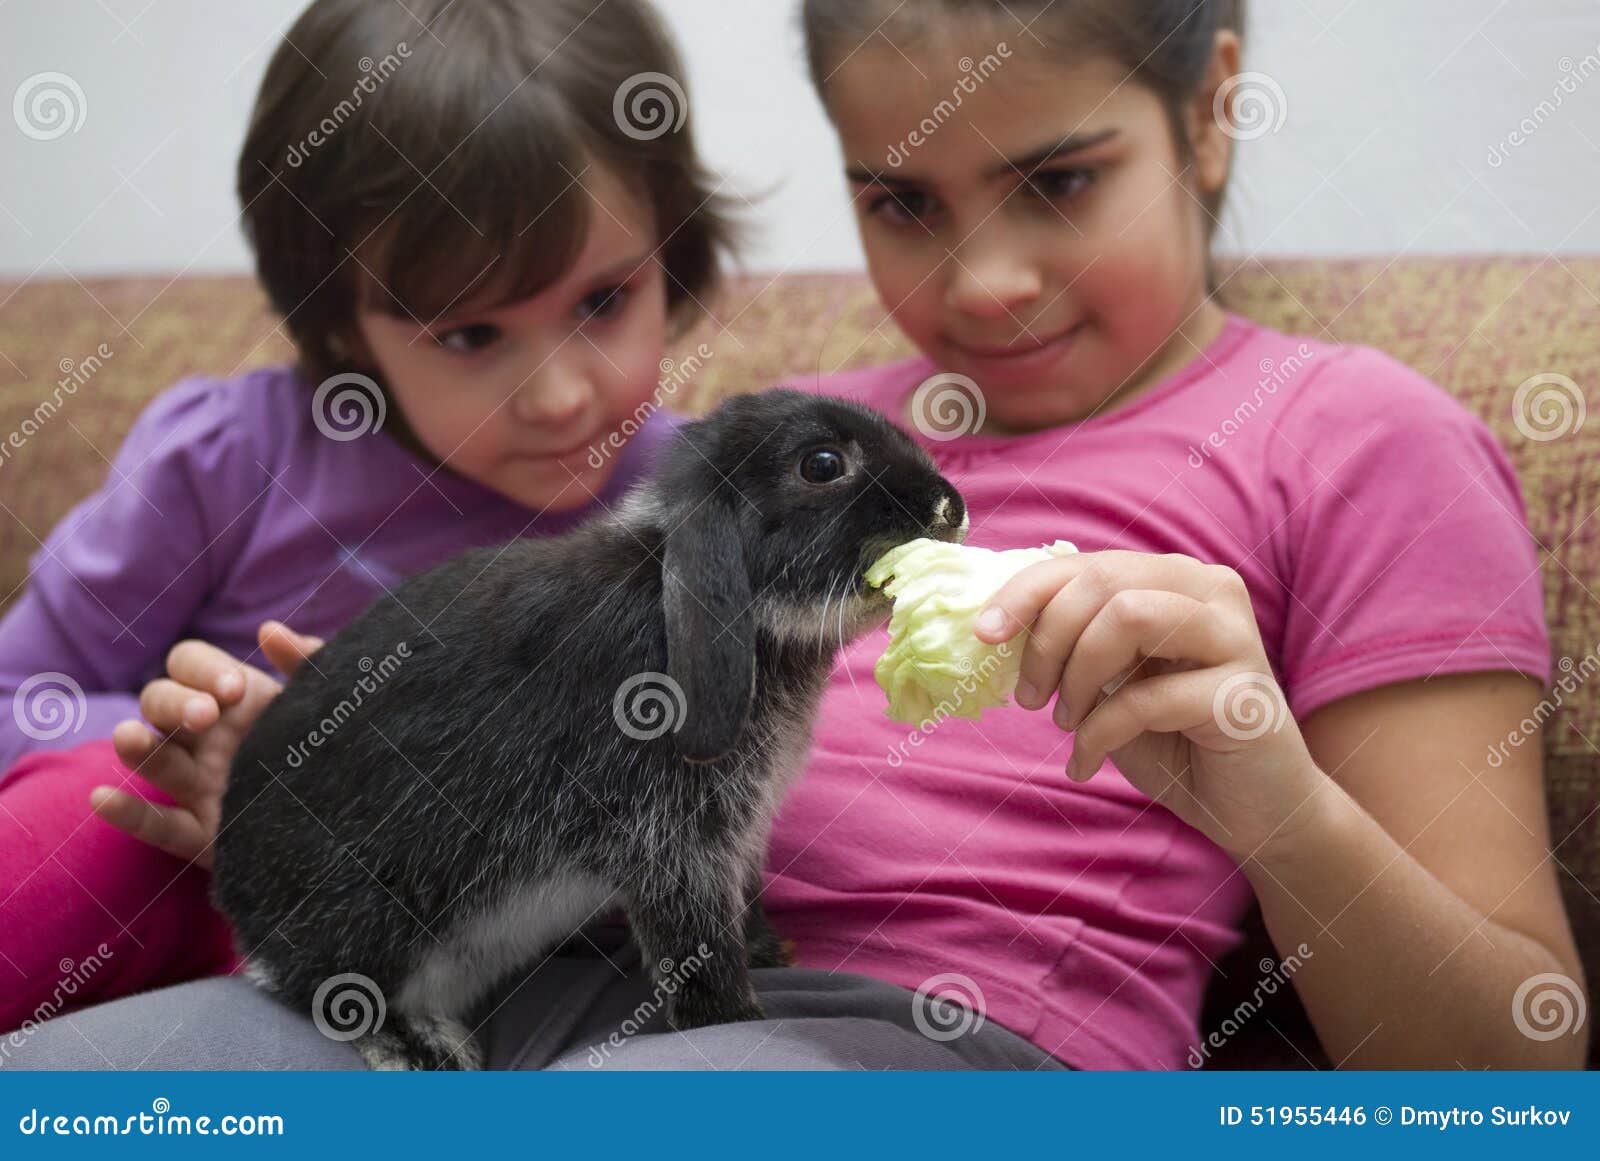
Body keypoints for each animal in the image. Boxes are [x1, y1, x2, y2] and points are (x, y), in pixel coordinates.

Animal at [211, 387, 969, 1071]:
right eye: (822, 464)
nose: (948, 506)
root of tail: (238, 902)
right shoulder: (669, 844)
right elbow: (694, 946)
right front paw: (732, 1018)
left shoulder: (735, 838)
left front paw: (770, 951)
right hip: (374, 918)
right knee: (329, 989)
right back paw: (424, 1047)